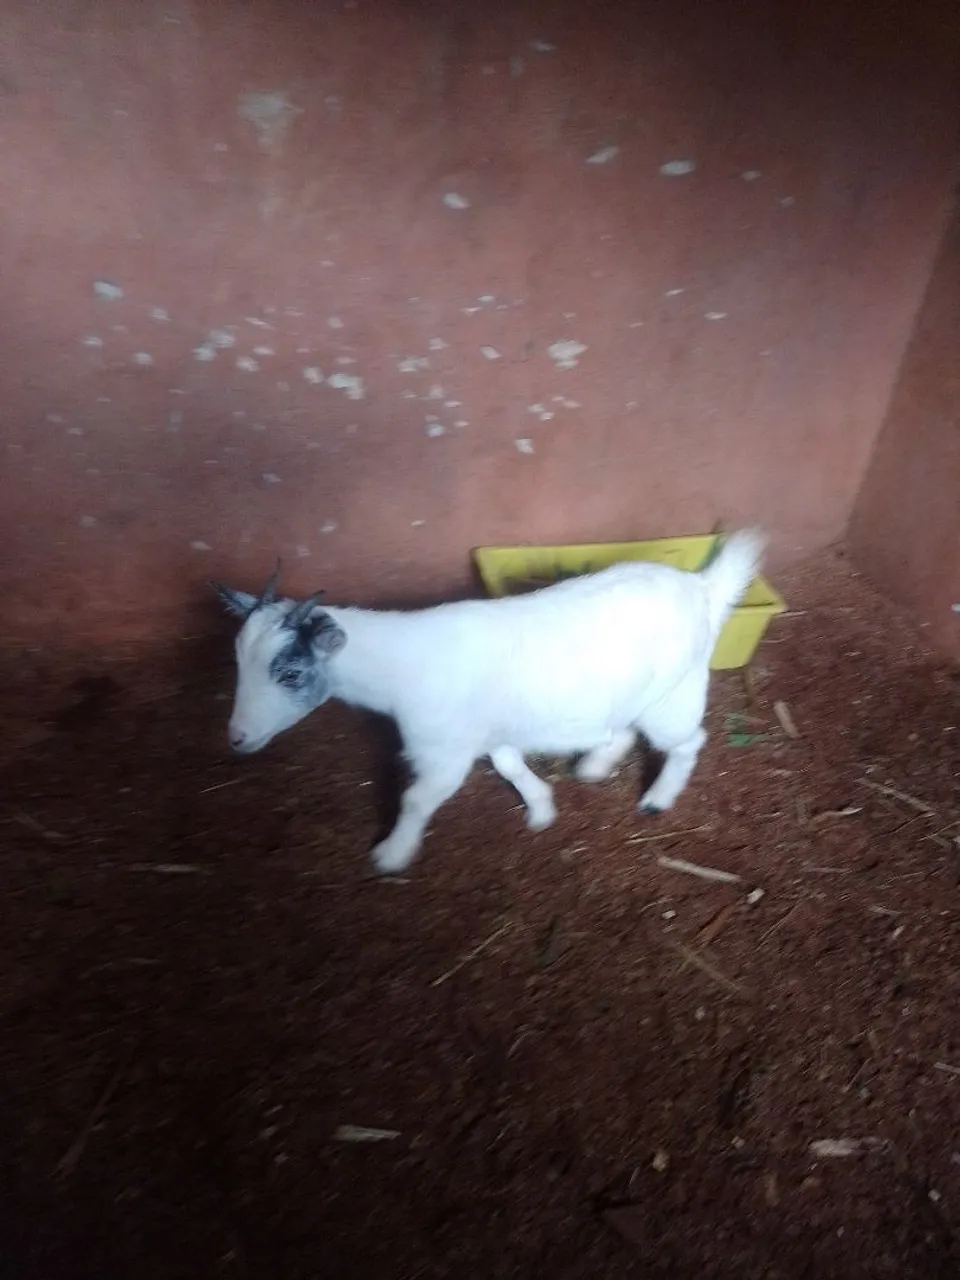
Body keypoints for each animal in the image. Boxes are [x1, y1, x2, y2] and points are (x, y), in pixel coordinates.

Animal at [211, 528, 766, 874]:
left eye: (289, 672)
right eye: (237, 660)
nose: (236, 737)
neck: (400, 668)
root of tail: (702, 586)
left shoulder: (444, 753)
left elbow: (417, 798)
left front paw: (391, 853)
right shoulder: (485, 733)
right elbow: (508, 764)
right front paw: (541, 808)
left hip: (676, 693)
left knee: (688, 741)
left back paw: (657, 798)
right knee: (624, 726)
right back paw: (592, 765)